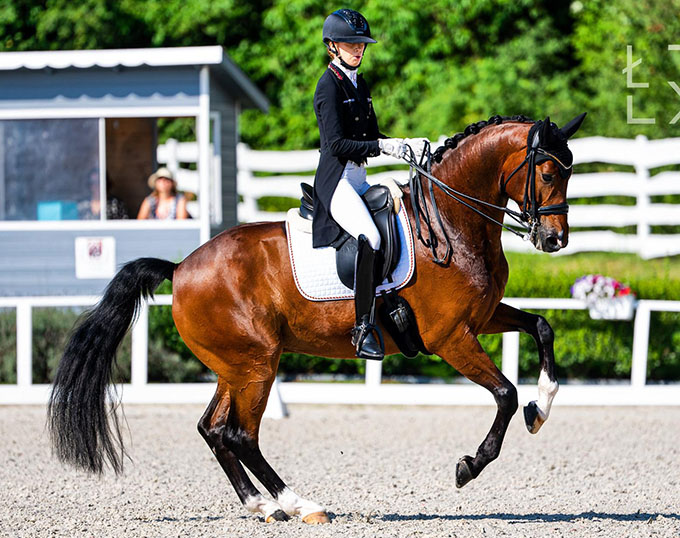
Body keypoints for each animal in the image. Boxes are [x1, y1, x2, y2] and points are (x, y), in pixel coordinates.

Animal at [47, 113, 586, 524]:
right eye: (547, 174)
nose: (554, 240)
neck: (451, 222)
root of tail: (179, 268)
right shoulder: (450, 337)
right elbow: (504, 393)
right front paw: (470, 465)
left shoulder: (483, 317)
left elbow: (542, 327)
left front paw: (541, 410)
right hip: (257, 365)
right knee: (240, 435)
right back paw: (301, 505)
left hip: (235, 366)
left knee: (213, 429)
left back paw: (262, 507)